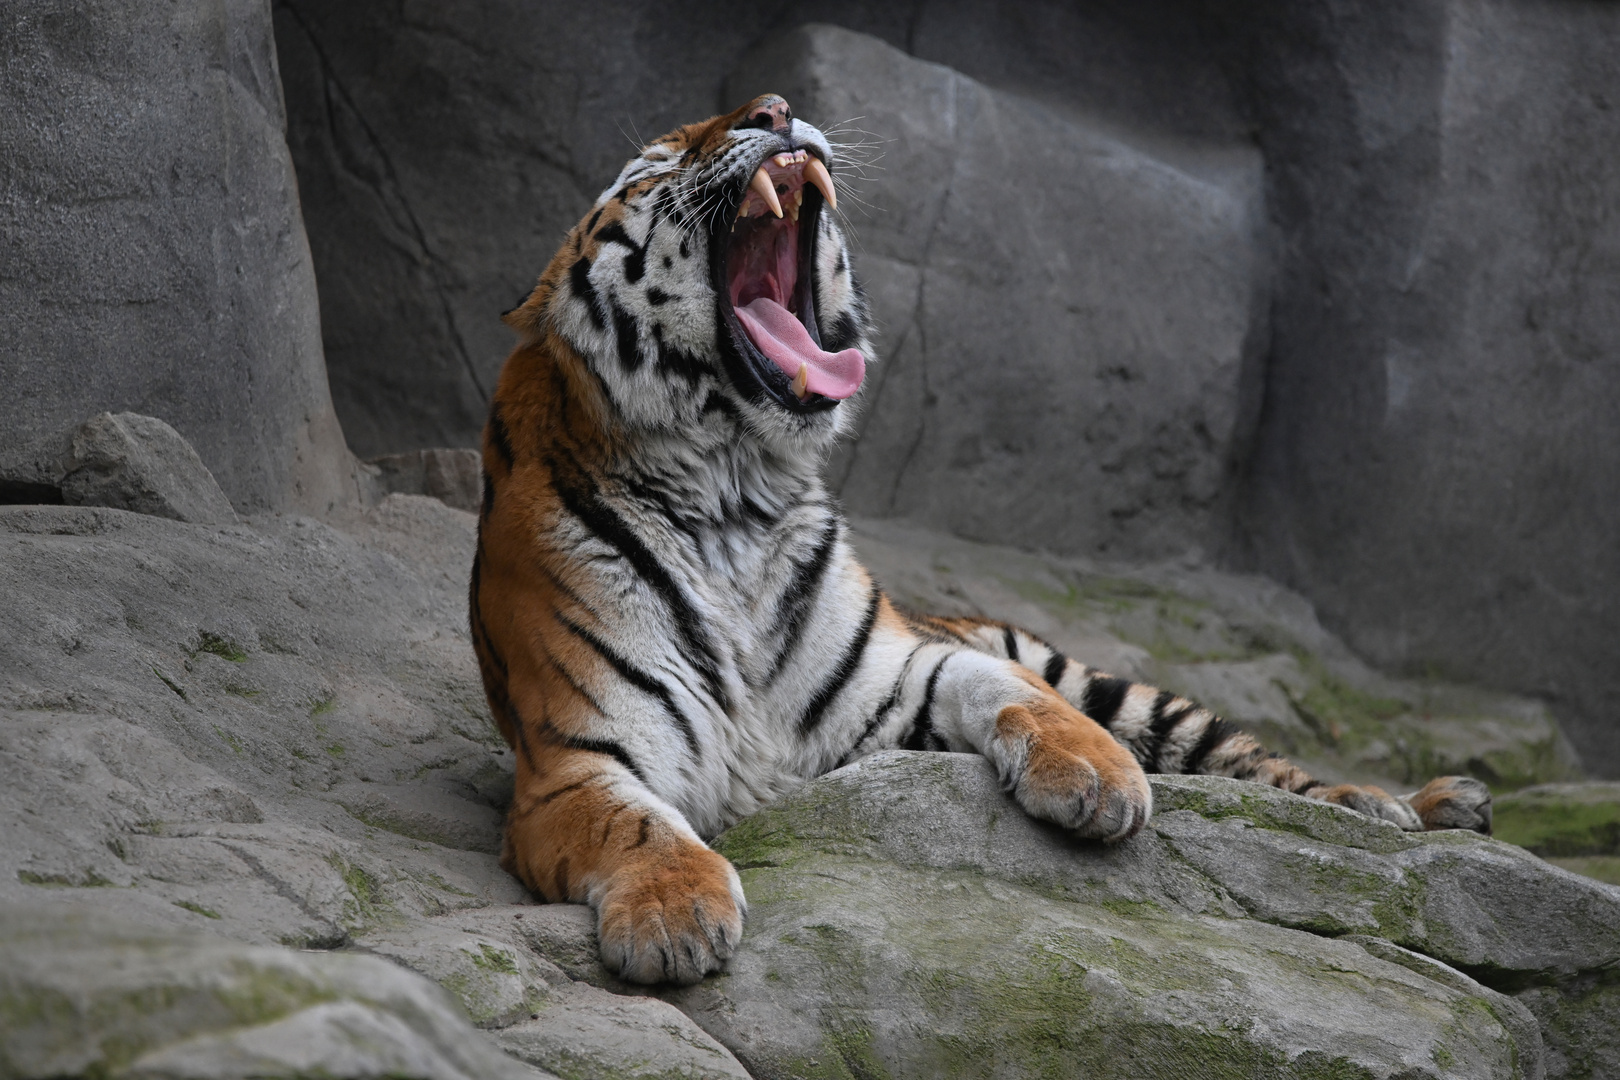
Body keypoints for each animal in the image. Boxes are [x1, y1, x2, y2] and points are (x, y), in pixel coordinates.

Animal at [470, 94, 1492, 987]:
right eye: (655, 165)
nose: (773, 107)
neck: (736, 496)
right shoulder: (574, 760)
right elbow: (635, 824)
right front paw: (675, 914)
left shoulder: (897, 676)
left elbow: (1010, 691)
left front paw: (1098, 775)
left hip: (1109, 679)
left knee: (1245, 756)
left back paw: (1403, 804)